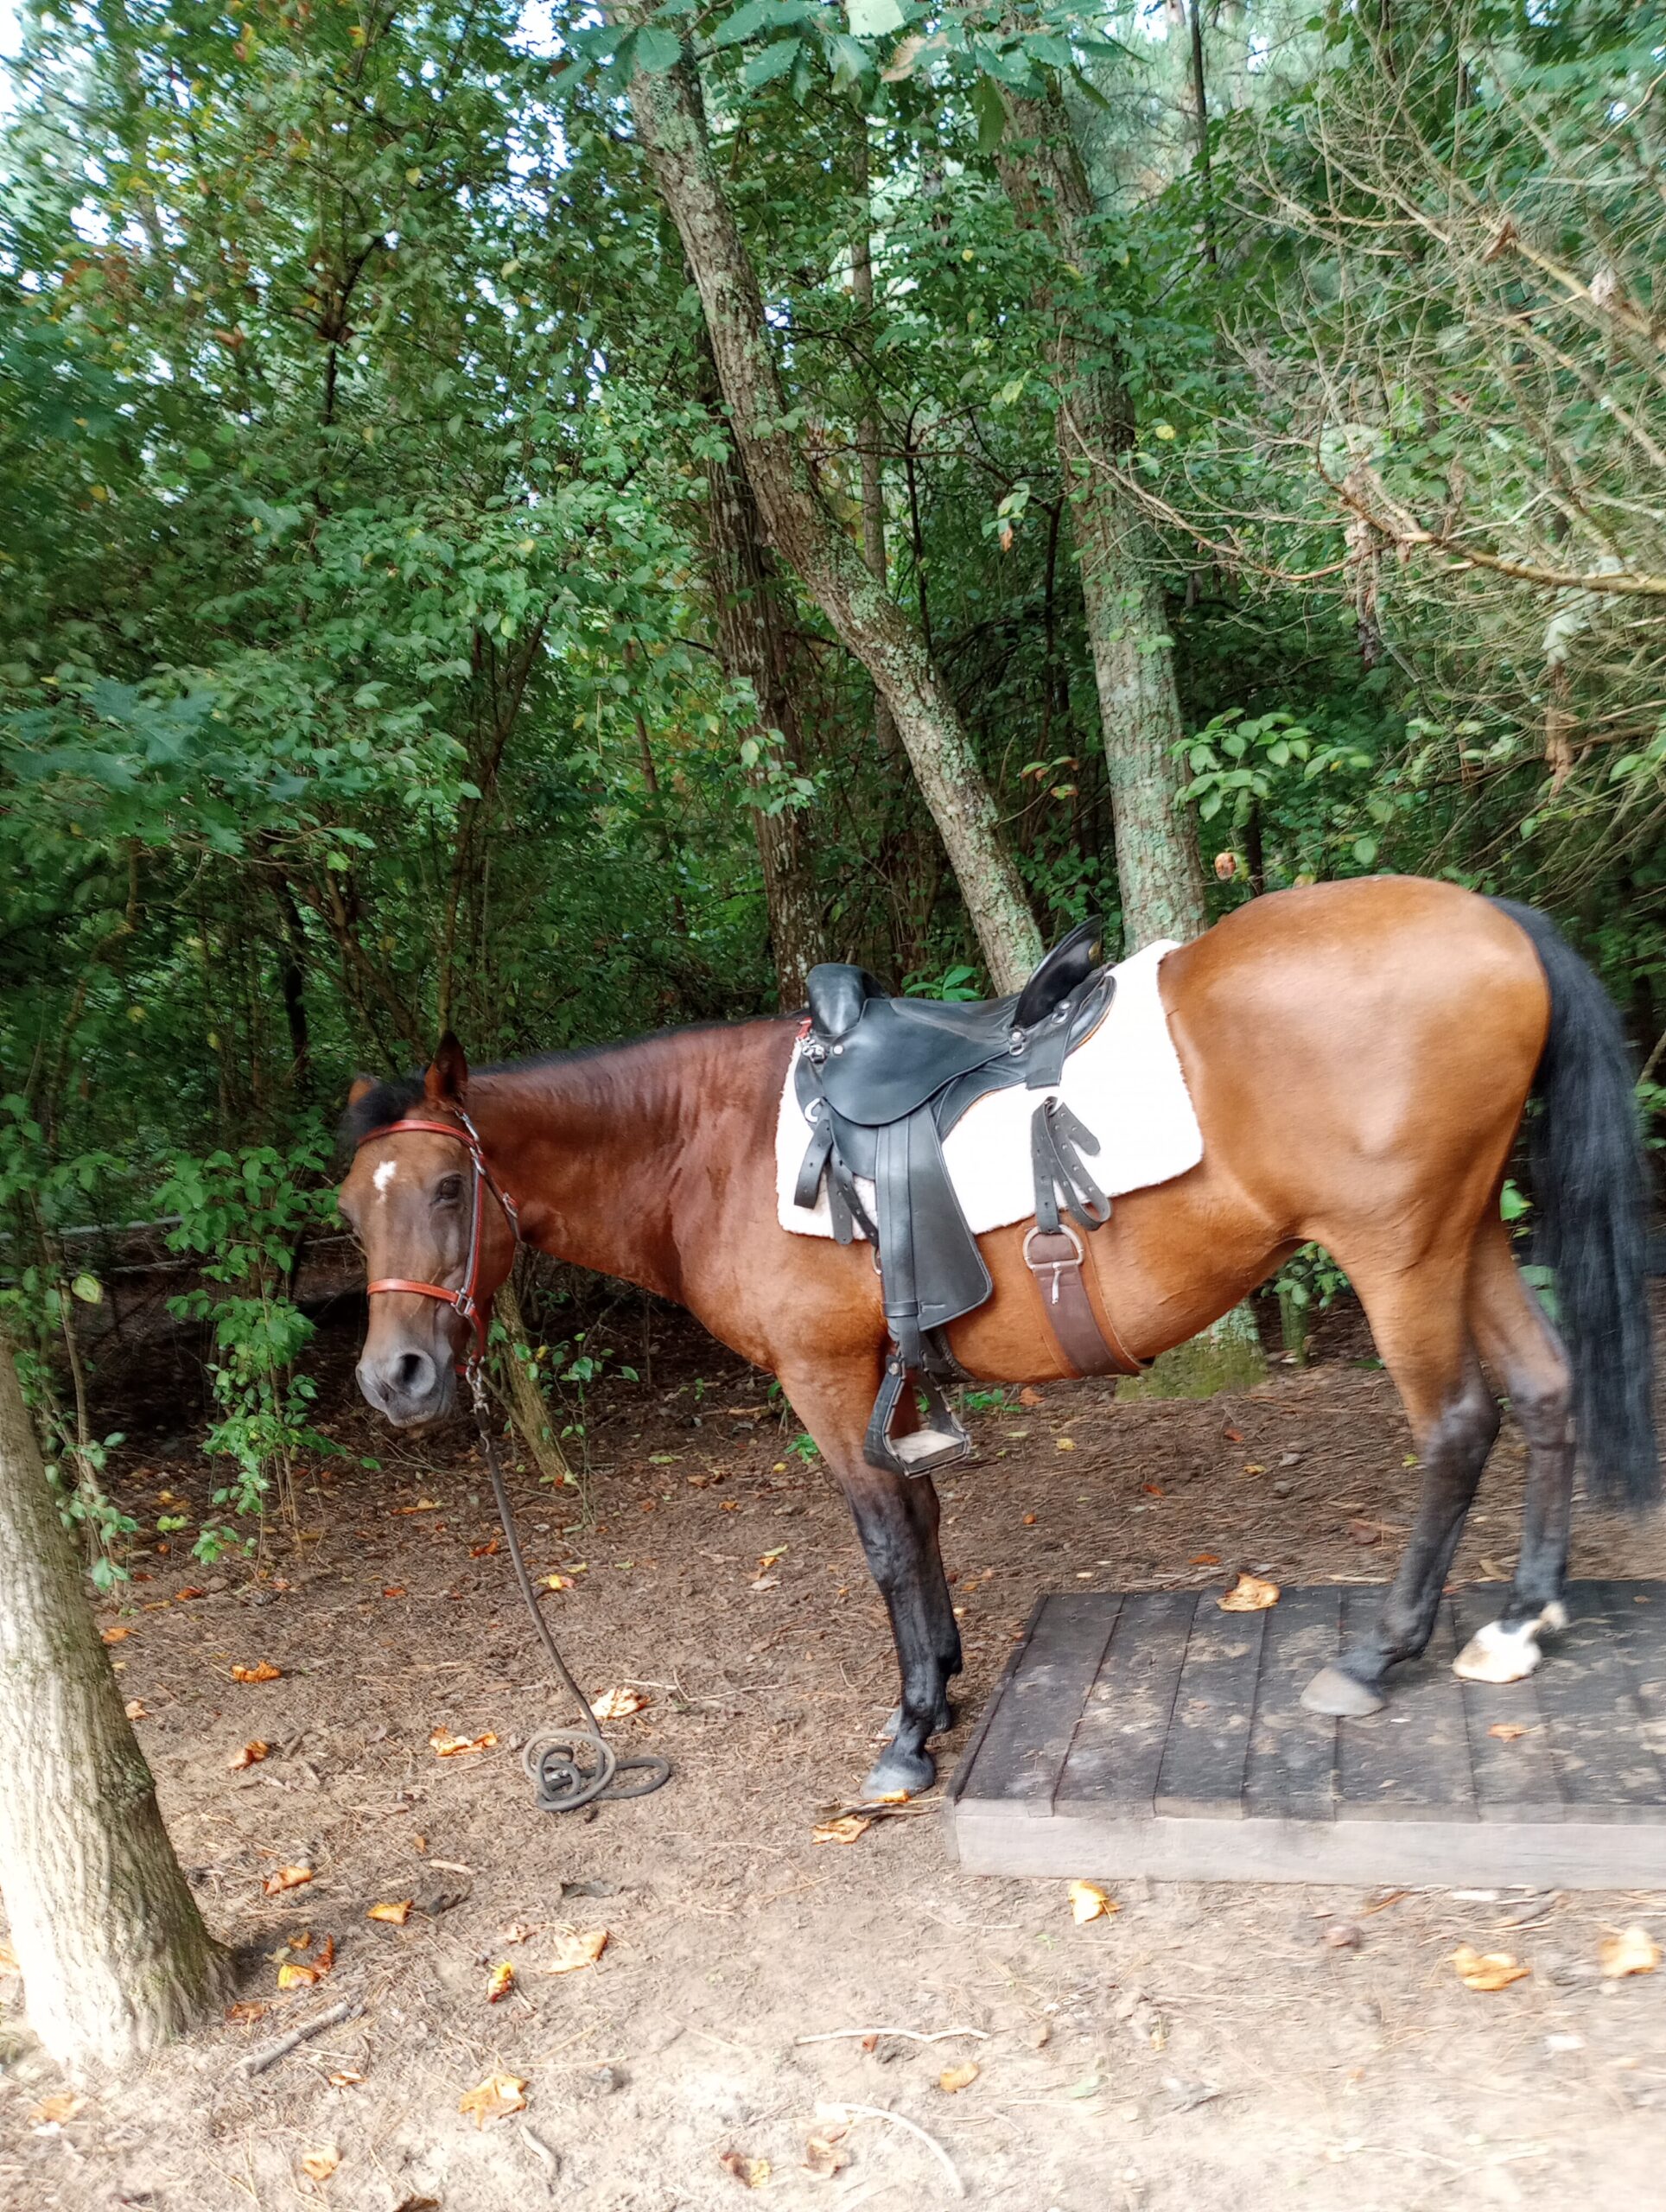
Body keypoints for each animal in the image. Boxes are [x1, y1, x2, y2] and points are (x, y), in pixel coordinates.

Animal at [337, 877, 1657, 1800]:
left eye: (450, 1189)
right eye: (352, 1205)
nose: (394, 1377)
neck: (707, 1142)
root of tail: (1489, 919)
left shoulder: (825, 1378)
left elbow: (883, 1537)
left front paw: (910, 1728)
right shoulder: (886, 1372)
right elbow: (920, 1519)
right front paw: (947, 1683)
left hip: (1398, 1254)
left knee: (1458, 1425)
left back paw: (1381, 1654)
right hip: (1467, 1229)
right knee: (1547, 1388)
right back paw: (1518, 1622)